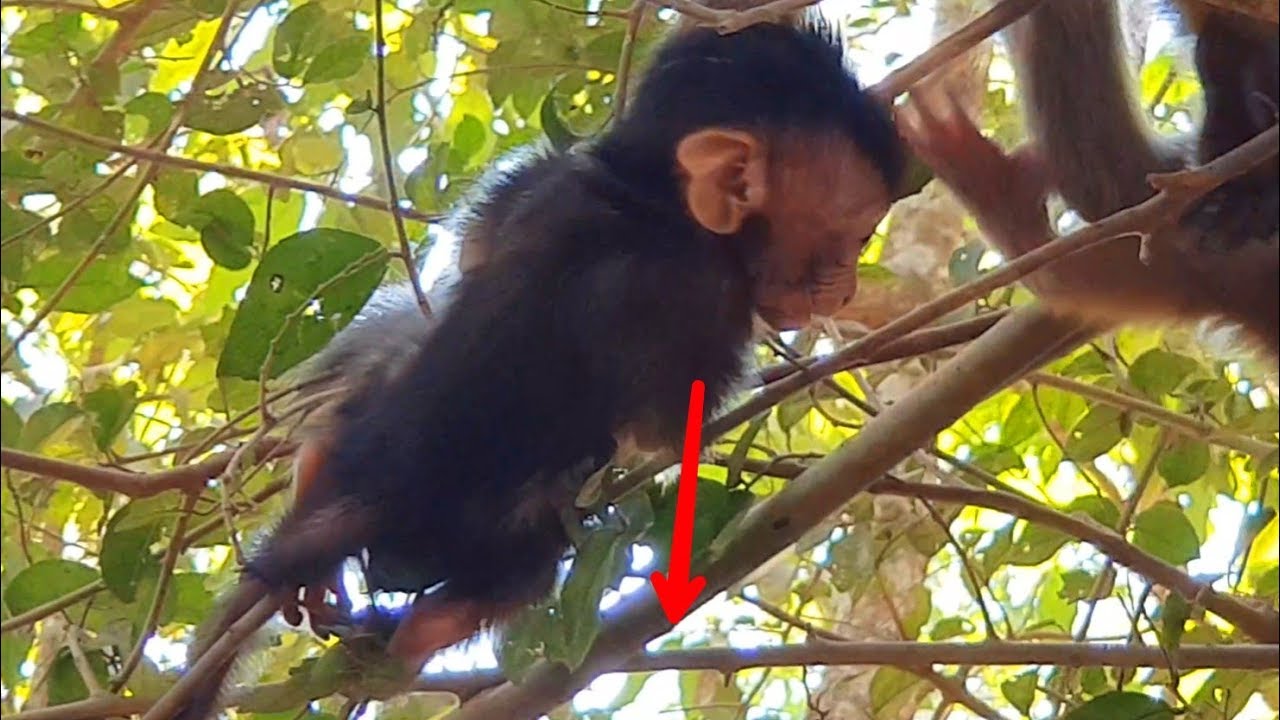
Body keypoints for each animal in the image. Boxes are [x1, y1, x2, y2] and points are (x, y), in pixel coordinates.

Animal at [165, 15, 904, 719]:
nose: (844, 290)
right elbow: (663, 433)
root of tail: (375, 496)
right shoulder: (701, 295)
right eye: (847, 239)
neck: (643, 196)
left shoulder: (539, 179)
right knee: (527, 562)